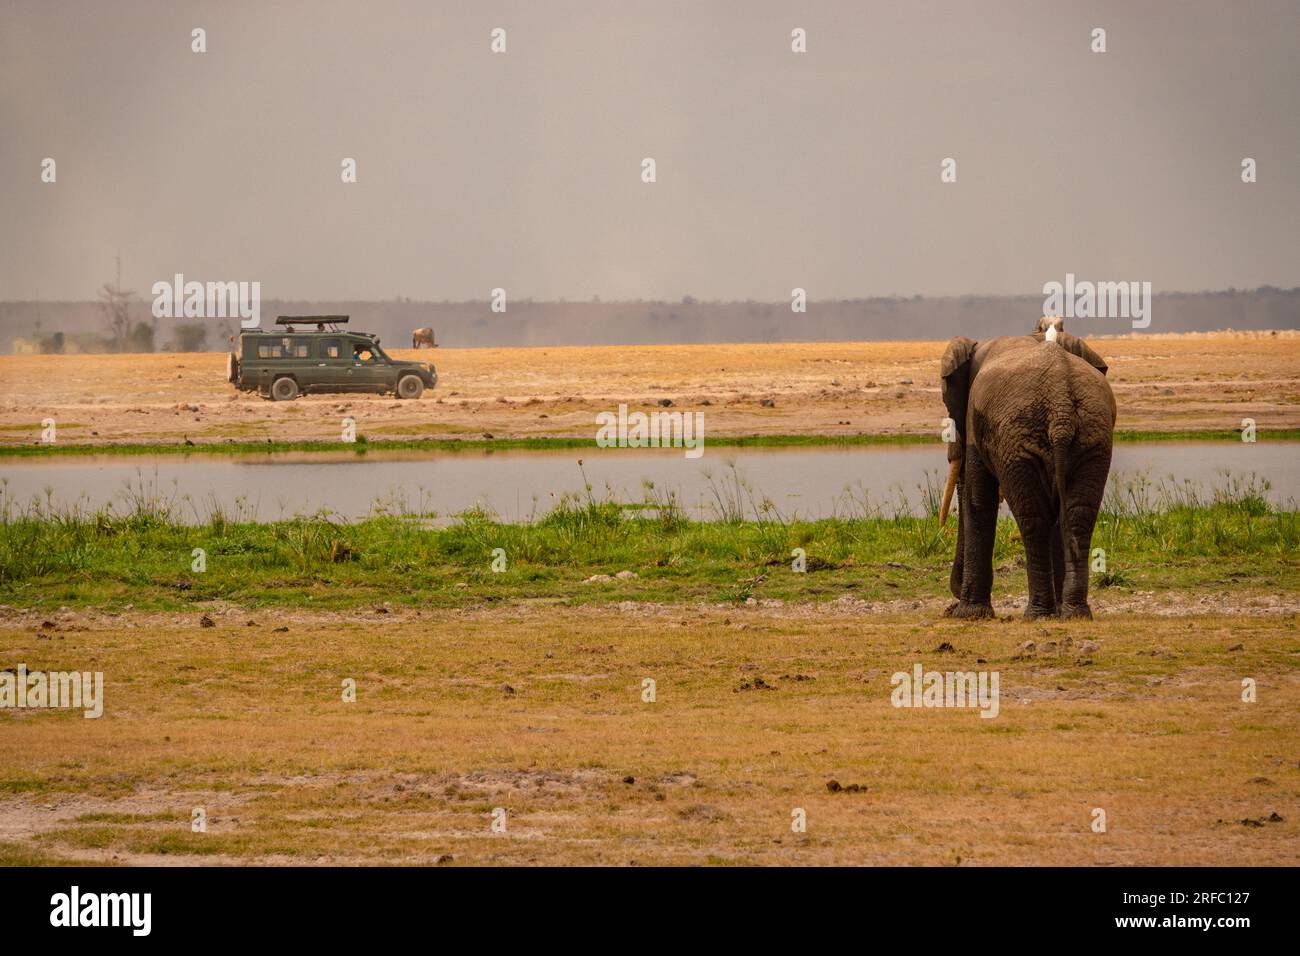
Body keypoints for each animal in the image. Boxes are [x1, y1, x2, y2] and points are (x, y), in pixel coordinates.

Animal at [938, 329, 1116, 620]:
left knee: (1034, 519)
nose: (951, 603)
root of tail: (1061, 406)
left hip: (1021, 441)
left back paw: (1038, 614)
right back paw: (1074, 613)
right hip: (1093, 437)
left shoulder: (975, 420)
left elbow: (979, 500)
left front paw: (968, 614)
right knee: (1077, 515)